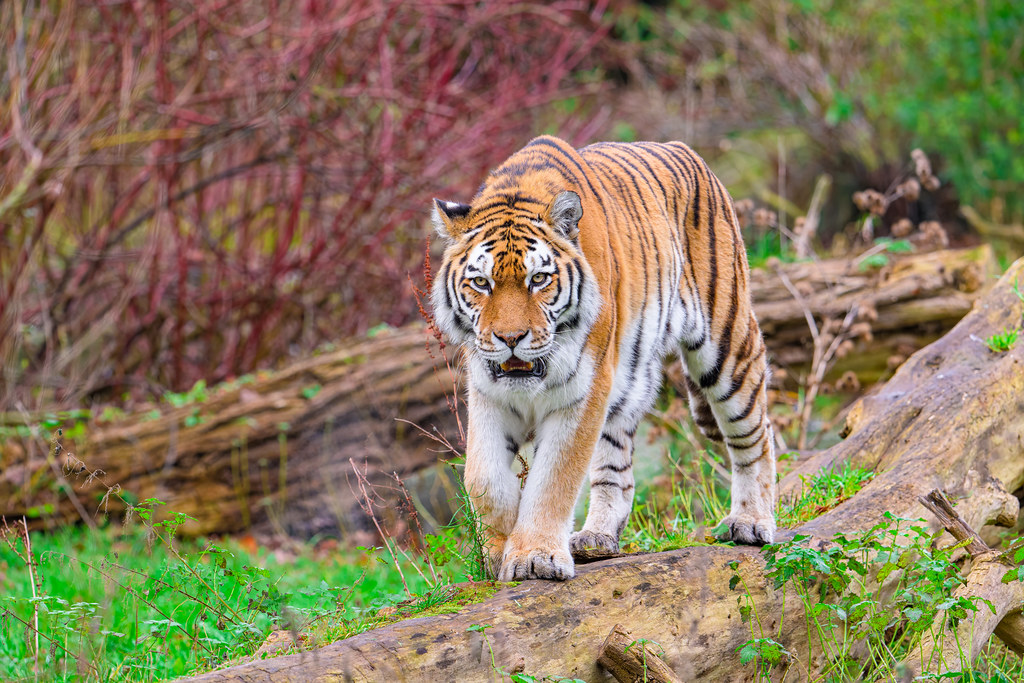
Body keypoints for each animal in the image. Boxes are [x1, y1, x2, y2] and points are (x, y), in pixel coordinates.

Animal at [430, 135, 776, 581]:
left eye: (538, 279)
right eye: (481, 283)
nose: (510, 338)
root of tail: (686, 149)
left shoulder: (582, 392)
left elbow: (554, 479)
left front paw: (534, 556)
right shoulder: (489, 391)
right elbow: (483, 477)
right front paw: (498, 548)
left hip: (726, 344)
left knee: (754, 433)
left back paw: (751, 521)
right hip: (628, 380)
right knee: (615, 469)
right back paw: (597, 538)